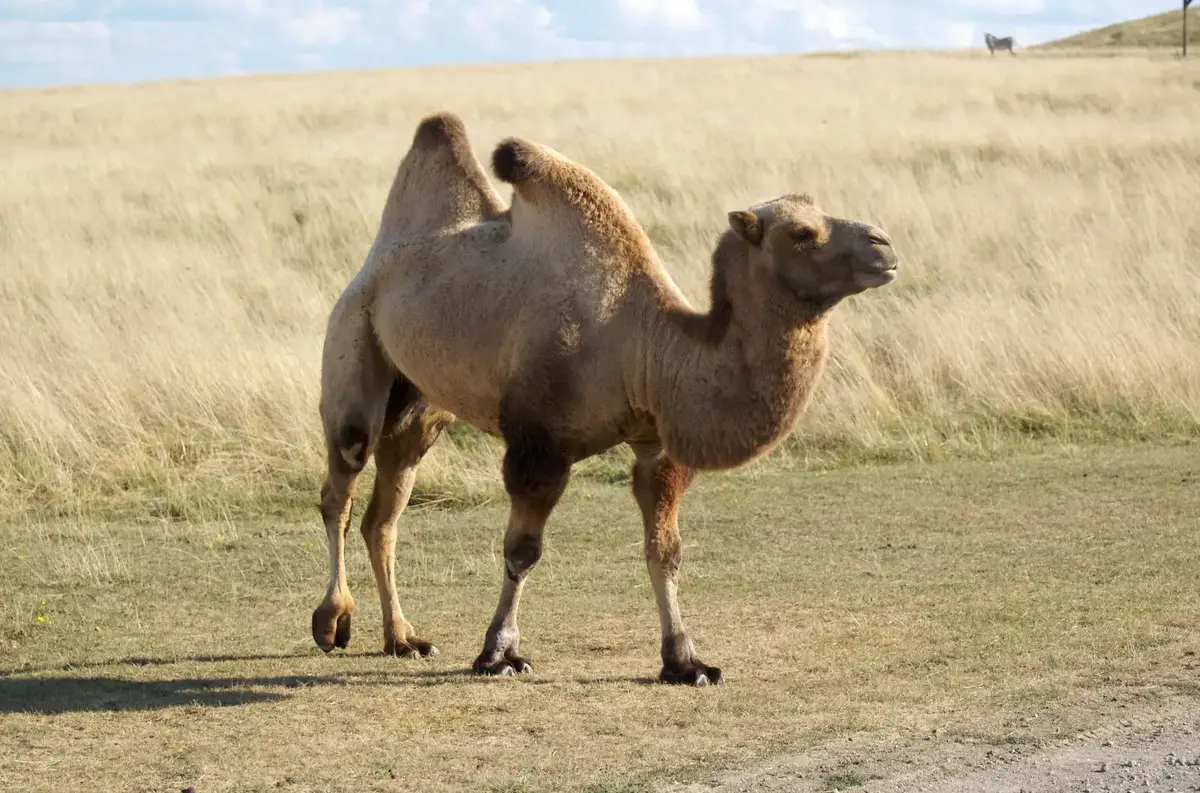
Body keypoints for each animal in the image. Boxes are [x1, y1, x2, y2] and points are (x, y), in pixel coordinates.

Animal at [310, 111, 900, 685]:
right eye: (802, 232)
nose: (885, 245)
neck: (642, 343)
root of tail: (372, 265)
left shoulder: (656, 444)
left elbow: (666, 551)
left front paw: (685, 661)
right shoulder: (540, 442)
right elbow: (522, 552)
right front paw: (499, 653)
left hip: (423, 404)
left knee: (383, 512)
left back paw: (403, 639)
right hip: (354, 341)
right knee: (341, 485)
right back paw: (332, 621)